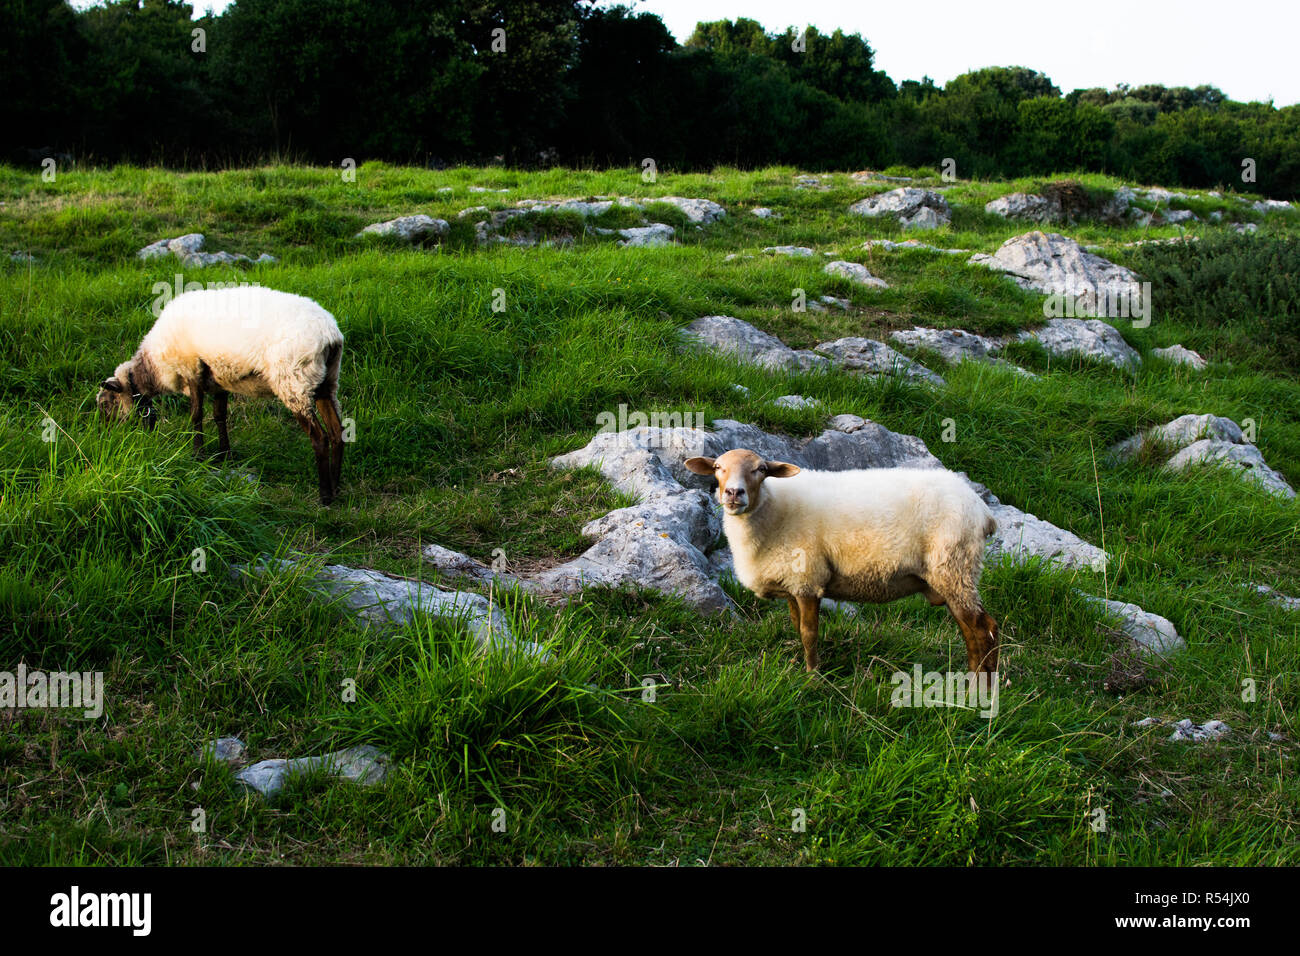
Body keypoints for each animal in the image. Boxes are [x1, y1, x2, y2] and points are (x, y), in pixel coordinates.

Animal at [96, 286, 346, 504]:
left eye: (106, 404)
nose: (107, 438)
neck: (154, 367)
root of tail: (330, 335)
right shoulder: (219, 380)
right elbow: (219, 416)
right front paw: (224, 453)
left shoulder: (192, 369)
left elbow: (196, 415)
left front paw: (198, 455)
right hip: (326, 382)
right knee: (337, 433)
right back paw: (336, 486)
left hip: (294, 381)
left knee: (320, 438)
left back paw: (325, 496)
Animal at [684, 448, 999, 674]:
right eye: (717, 467)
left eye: (761, 469)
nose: (733, 493)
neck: (772, 511)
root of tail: (982, 509)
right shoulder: (791, 581)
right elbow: (795, 624)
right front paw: (801, 667)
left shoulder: (809, 579)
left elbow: (809, 633)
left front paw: (813, 676)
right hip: (952, 576)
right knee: (969, 631)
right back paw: (970, 678)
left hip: (955, 566)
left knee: (985, 629)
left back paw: (980, 689)